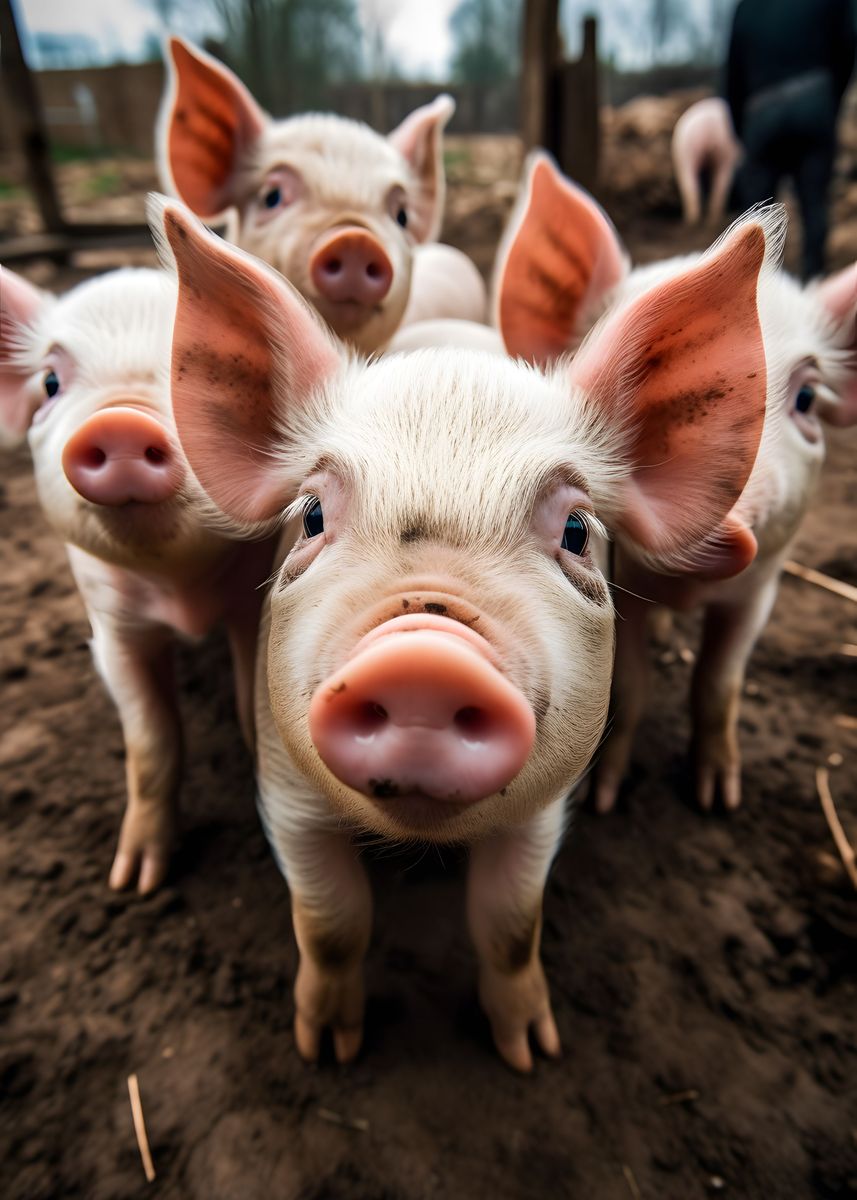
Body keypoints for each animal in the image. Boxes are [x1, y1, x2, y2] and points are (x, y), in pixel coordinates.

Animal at [0, 266, 273, 892]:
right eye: (50, 382)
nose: (119, 420)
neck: (180, 590)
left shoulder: (251, 600)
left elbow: (249, 706)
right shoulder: (111, 631)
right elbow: (151, 741)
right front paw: (137, 882)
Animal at [151, 193, 773, 1069]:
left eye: (576, 532)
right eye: (310, 517)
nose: (424, 658)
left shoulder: (541, 812)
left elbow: (509, 926)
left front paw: (530, 1052)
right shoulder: (285, 789)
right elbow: (330, 921)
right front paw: (327, 1050)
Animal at [493, 152, 857, 815]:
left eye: (808, 398)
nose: (723, 516)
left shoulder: (762, 586)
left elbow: (719, 683)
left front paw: (718, 800)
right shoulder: (624, 586)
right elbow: (631, 687)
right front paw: (604, 800)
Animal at [671, 97, 742, 227]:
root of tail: (707, 126)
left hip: (685, 152)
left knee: (689, 186)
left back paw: (693, 220)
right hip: (725, 152)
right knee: (721, 184)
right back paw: (712, 219)